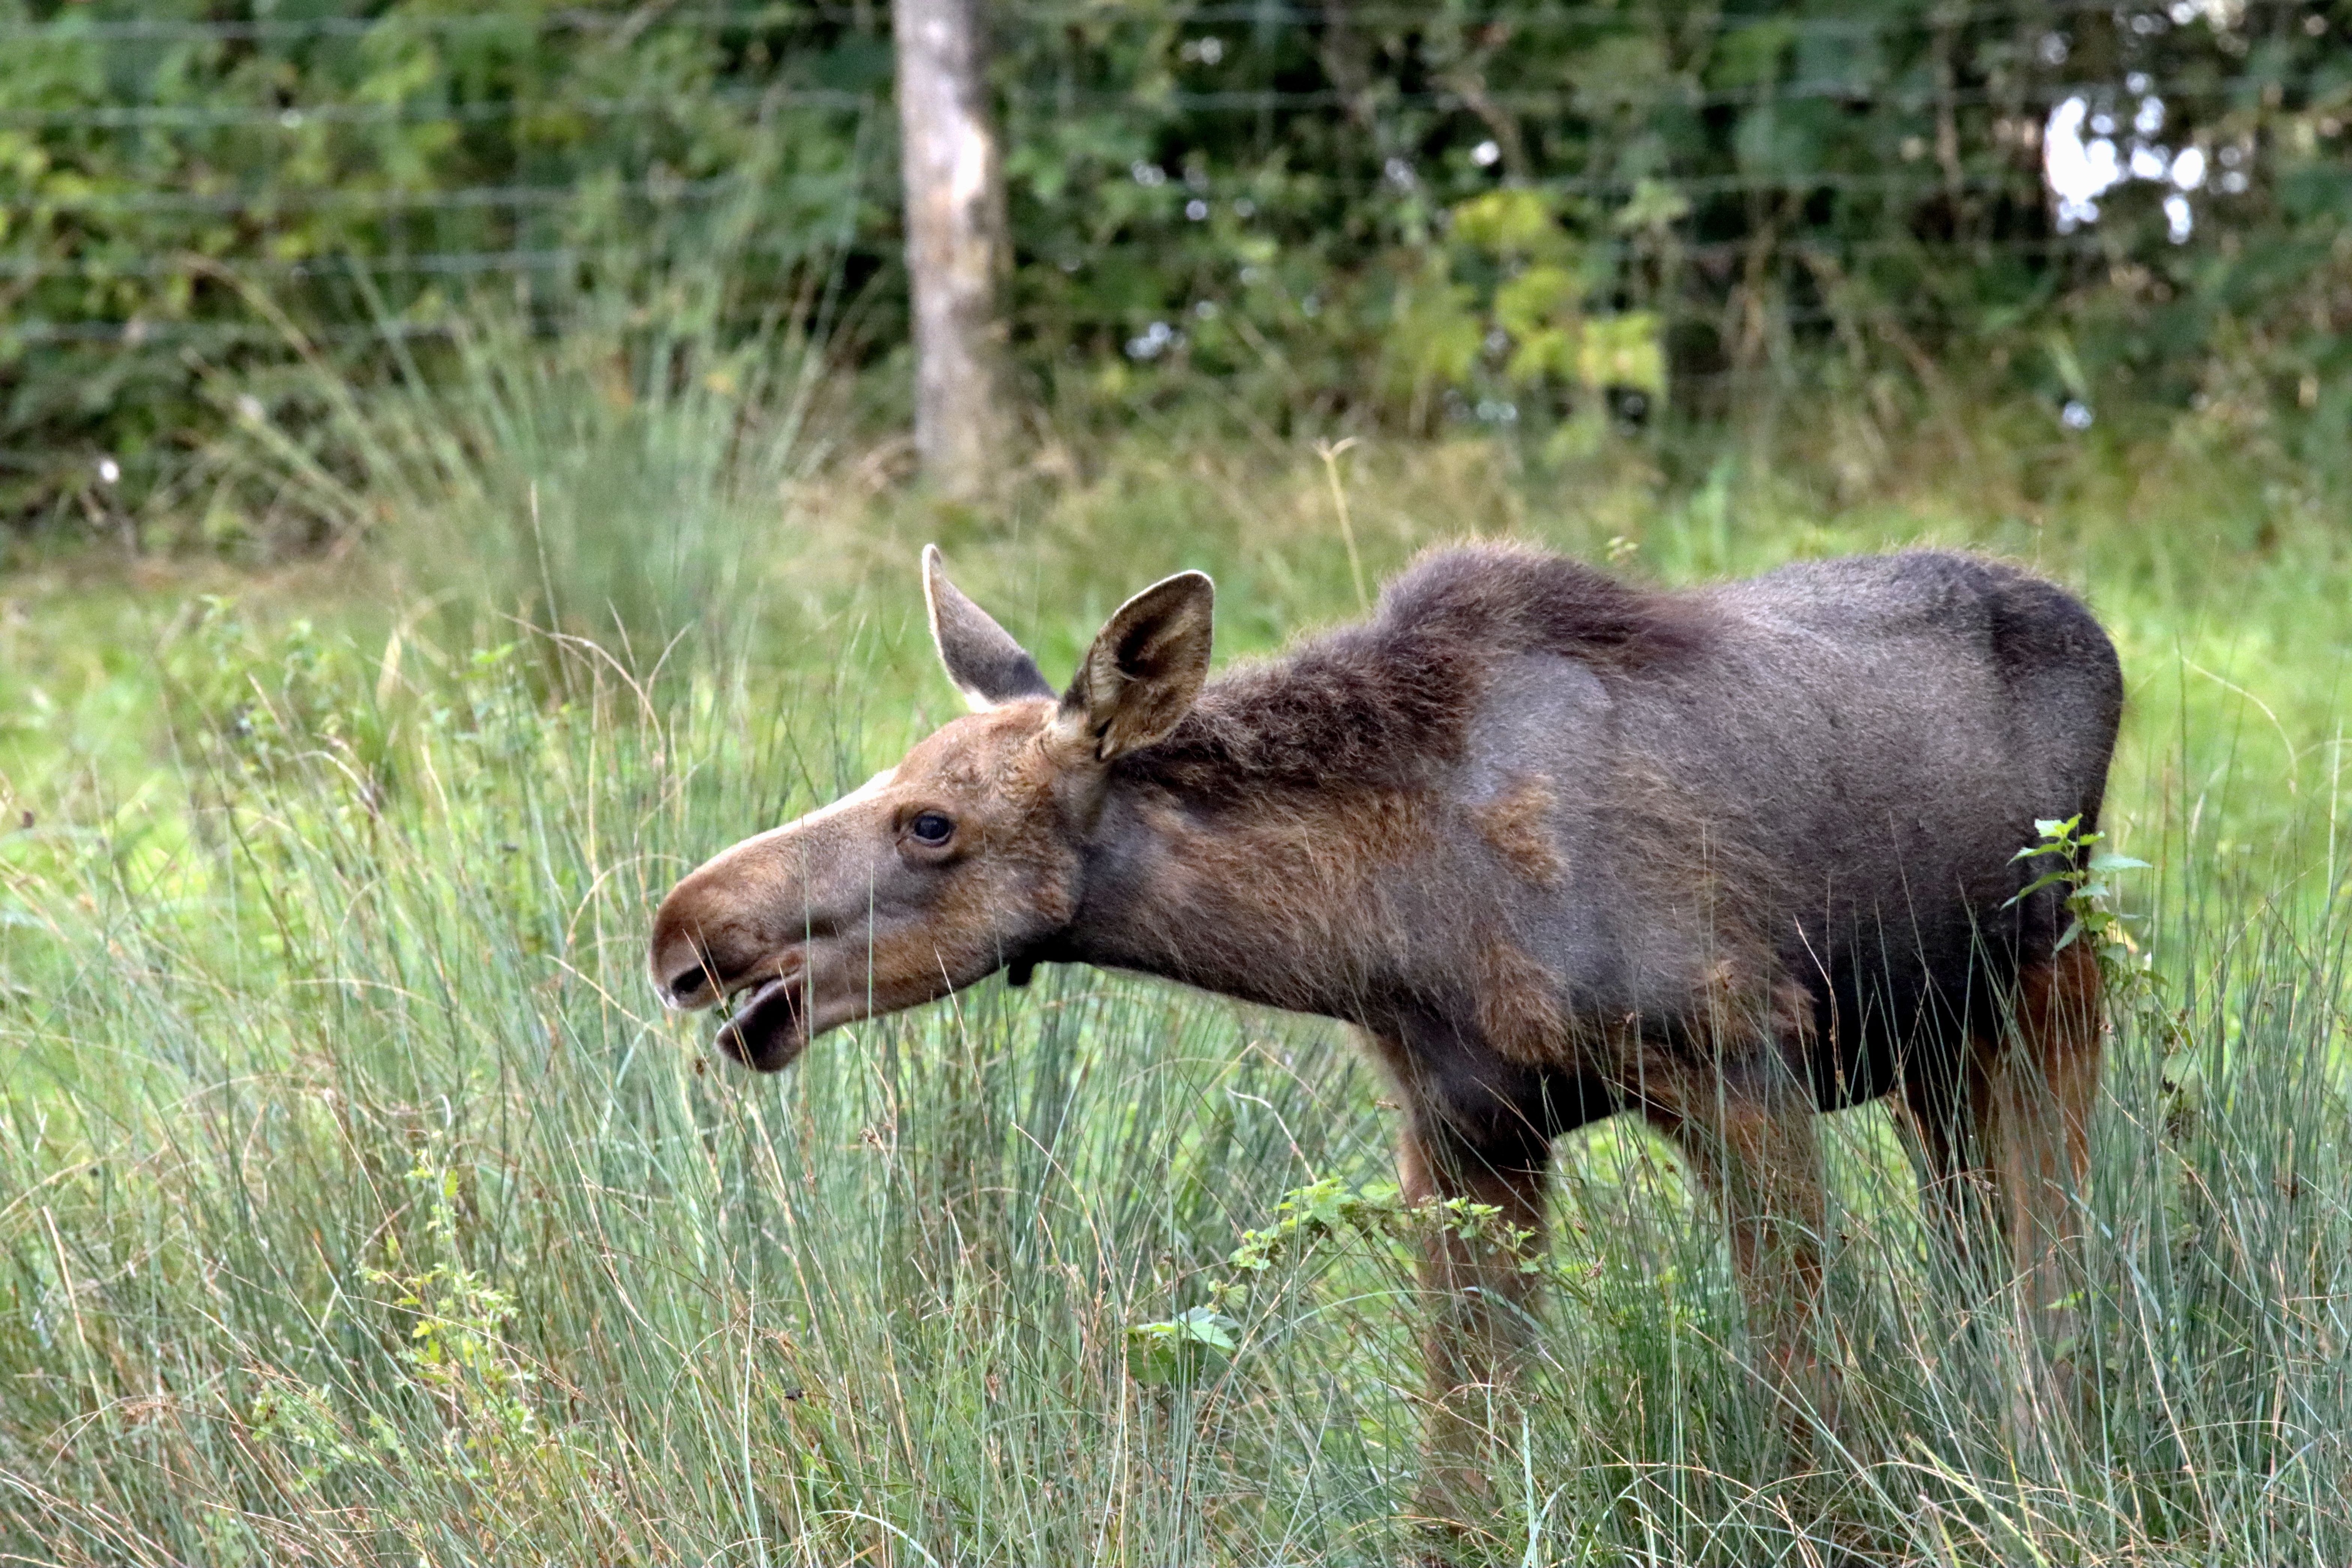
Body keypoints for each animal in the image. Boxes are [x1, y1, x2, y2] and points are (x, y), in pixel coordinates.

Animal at [649, 540, 2122, 1502]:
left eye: (931, 822)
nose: (684, 935)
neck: (1380, 930)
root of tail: (2097, 635)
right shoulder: (1463, 1132)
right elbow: (1457, 1456)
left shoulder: (1738, 1066)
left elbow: (1804, 1397)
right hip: (1933, 1057)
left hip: (2050, 987)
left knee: (2049, 1279)